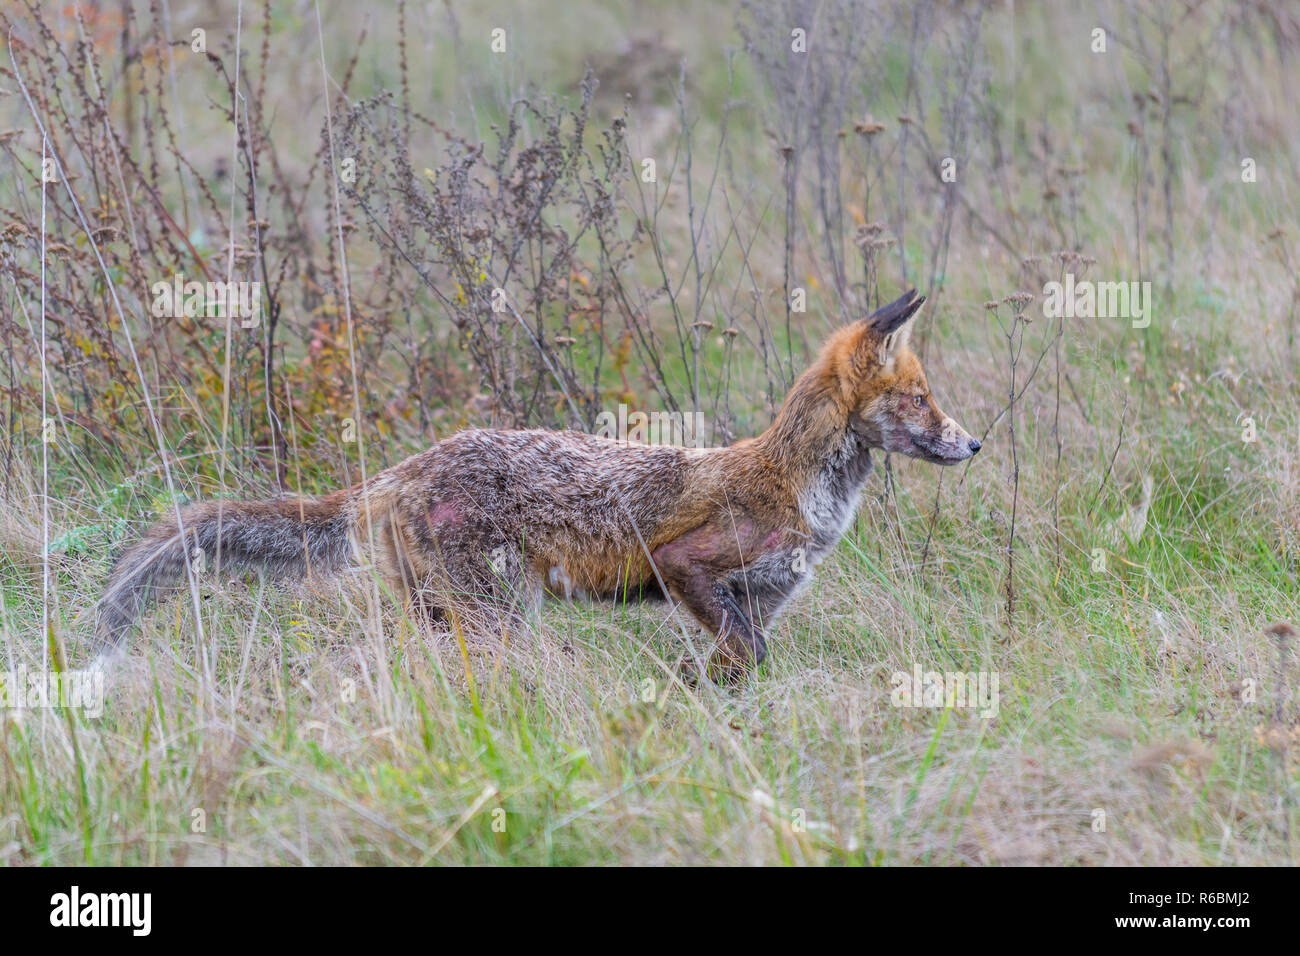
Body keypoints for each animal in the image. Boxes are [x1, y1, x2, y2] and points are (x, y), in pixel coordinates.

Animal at [95, 288, 979, 681]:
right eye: (920, 399)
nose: (973, 443)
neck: (799, 489)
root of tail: (402, 467)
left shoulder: (757, 603)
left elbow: (735, 668)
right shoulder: (688, 568)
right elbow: (740, 652)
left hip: (447, 614)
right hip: (498, 616)